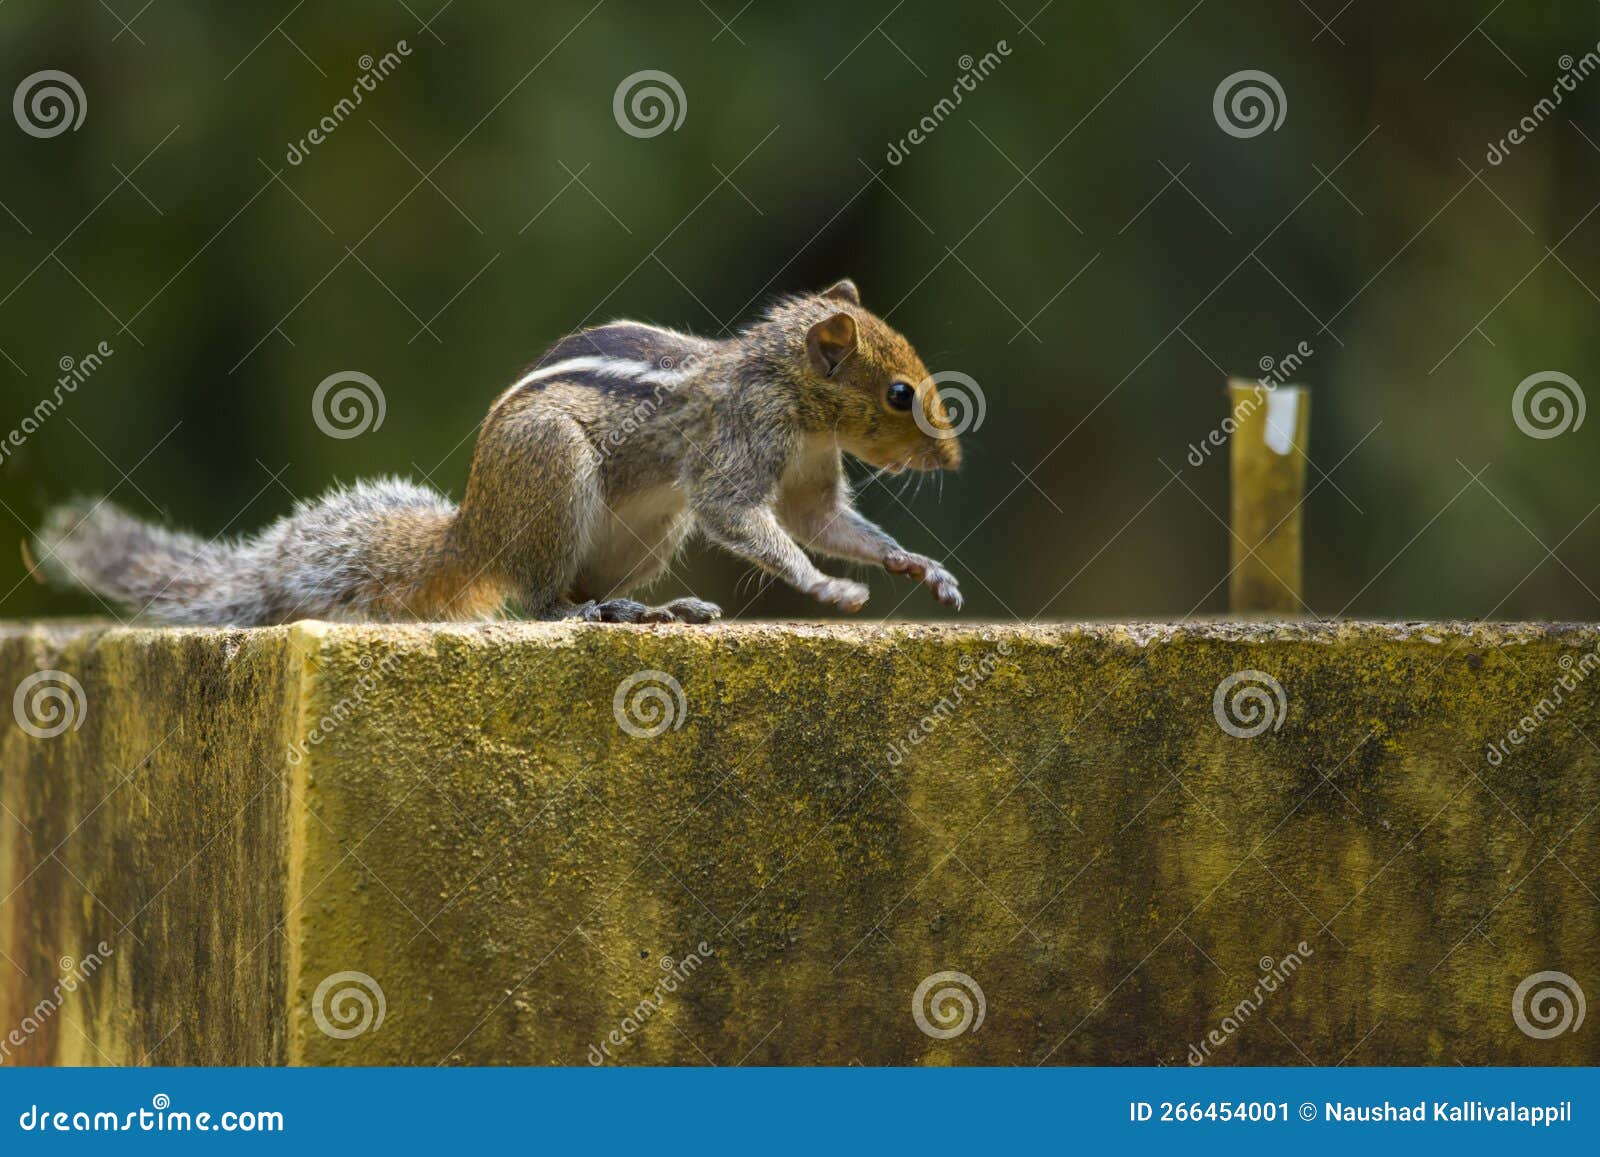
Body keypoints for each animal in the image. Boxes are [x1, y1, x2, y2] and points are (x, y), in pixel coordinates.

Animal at [34, 279, 965, 626]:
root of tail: (472, 531)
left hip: (645, 533)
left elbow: (823, 521)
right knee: (546, 599)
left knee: (576, 590)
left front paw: (917, 566)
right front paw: (827, 586)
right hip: (553, 470)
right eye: (898, 393)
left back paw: (653, 609)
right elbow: (748, 517)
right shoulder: (744, 443)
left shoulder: (809, 477)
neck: (794, 392)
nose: (953, 460)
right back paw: (605, 615)